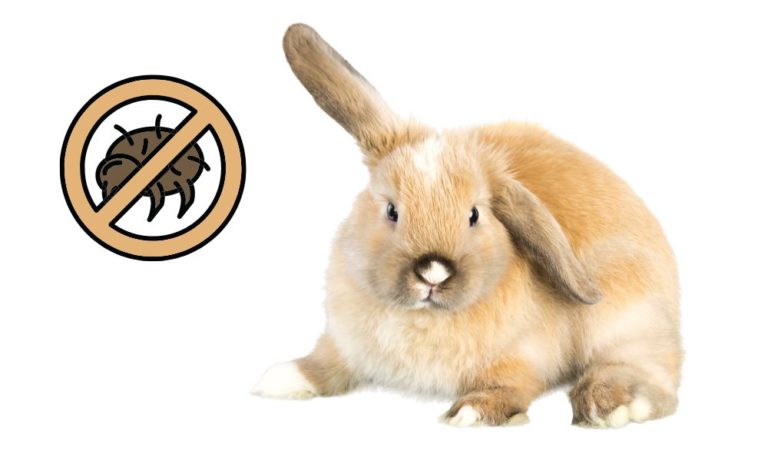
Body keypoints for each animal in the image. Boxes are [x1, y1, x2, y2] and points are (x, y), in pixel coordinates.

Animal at [252, 23, 682, 428]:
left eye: (474, 215)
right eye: (391, 210)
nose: (433, 272)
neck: (422, 317)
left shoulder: (522, 356)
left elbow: (508, 383)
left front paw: (472, 412)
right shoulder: (343, 342)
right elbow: (326, 362)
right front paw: (282, 378)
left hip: (623, 310)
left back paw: (609, 404)